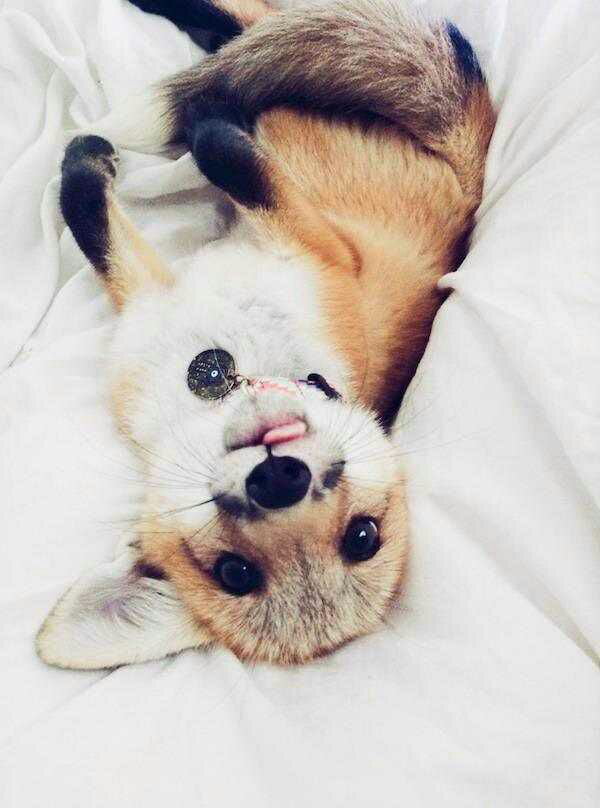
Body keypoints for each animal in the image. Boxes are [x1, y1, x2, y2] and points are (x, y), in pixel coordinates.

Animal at [36, 0, 495, 669]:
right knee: (260, 22)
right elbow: (89, 214)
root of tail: (470, 181)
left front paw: (184, 128)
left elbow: (219, 159)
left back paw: (213, 88)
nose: (280, 480)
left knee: (267, 33)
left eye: (361, 537)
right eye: (235, 573)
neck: (217, 368)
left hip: (297, 110)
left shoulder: (322, 254)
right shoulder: (149, 303)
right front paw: (90, 163)